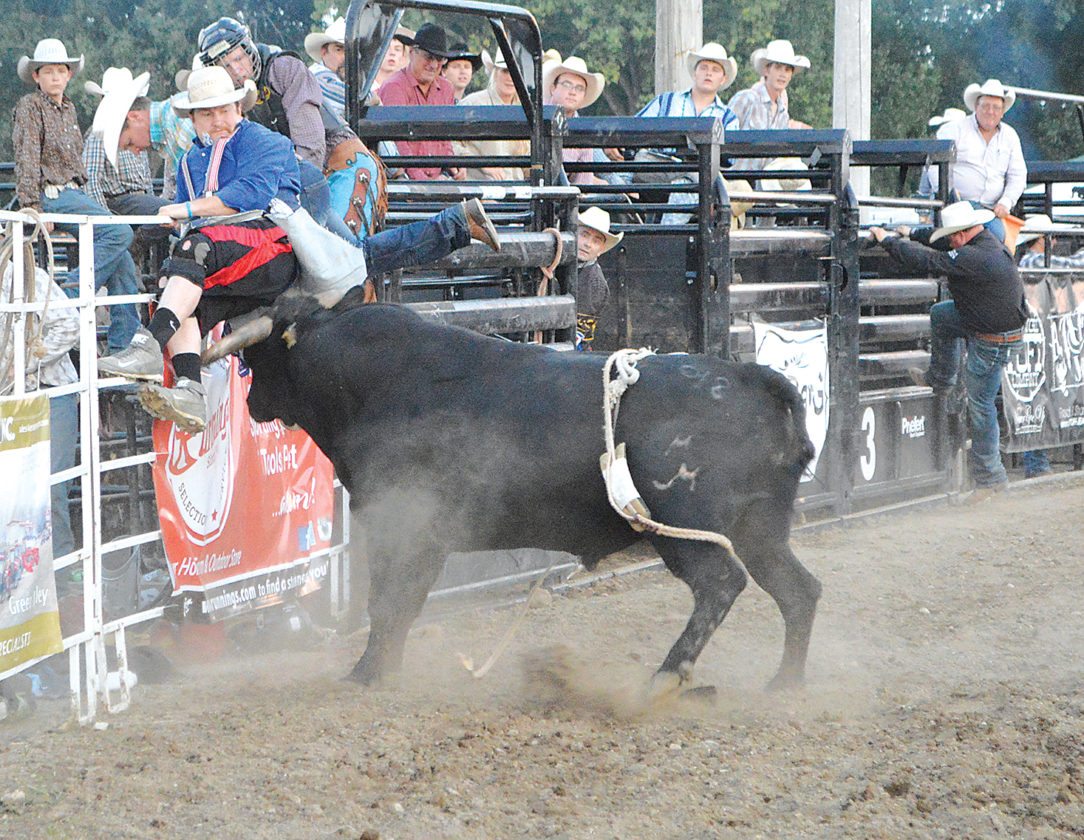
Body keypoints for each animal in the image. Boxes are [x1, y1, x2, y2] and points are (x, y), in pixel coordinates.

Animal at [211, 289, 822, 692]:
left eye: (255, 357)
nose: (252, 403)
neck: (367, 379)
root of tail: (753, 379)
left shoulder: (403, 527)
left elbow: (388, 603)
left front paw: (366, 674)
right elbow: (400, 605)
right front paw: (383, 669)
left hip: (686, 532)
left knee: (721, 586)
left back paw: (666, 677)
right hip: (761, 531)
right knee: (799, 591)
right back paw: (785, 683)